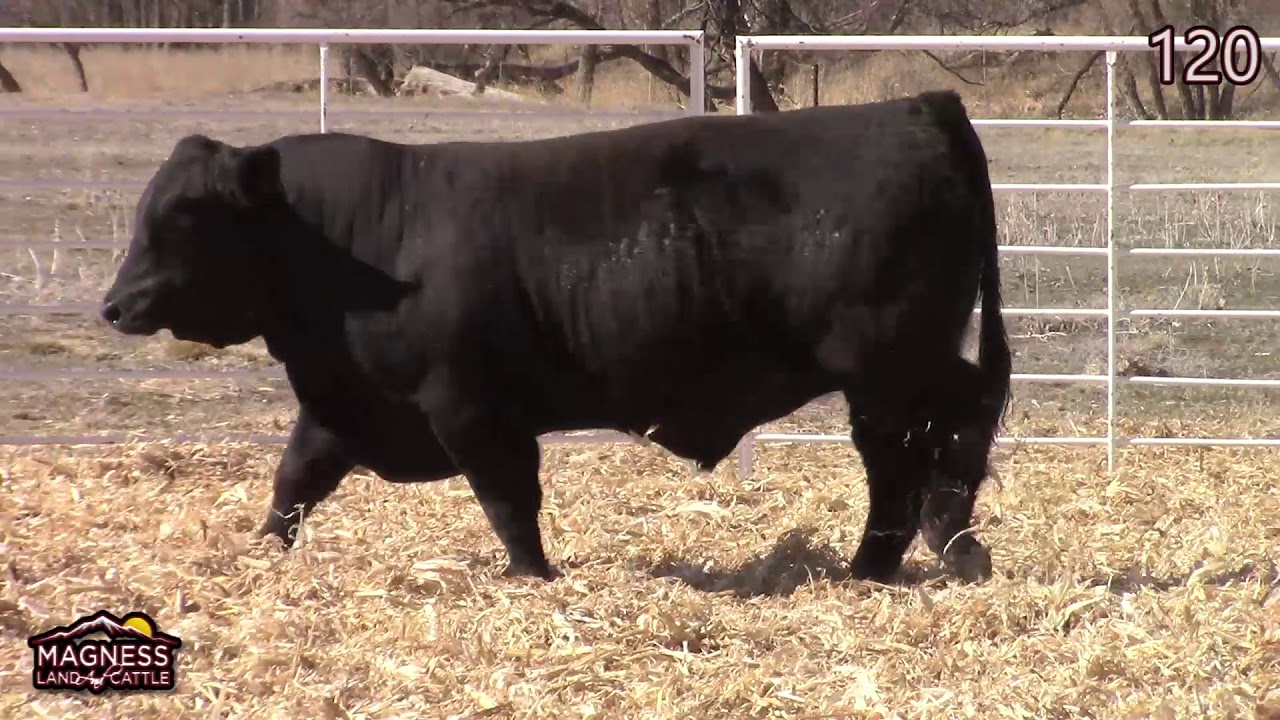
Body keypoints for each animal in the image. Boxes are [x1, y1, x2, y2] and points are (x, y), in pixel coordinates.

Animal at [100, 90, 1013, 585]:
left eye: (184, 216)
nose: (115, 304)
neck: (361, 241)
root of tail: (916, 107)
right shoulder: (343, 402)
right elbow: (294, 482)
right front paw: (260, 553)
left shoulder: (469, 406)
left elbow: (507, 497)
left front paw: (532, 576)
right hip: (904, 367)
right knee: (951, 431)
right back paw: (946, 543)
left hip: (885, 369)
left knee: (912, 455)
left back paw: (895, 559)